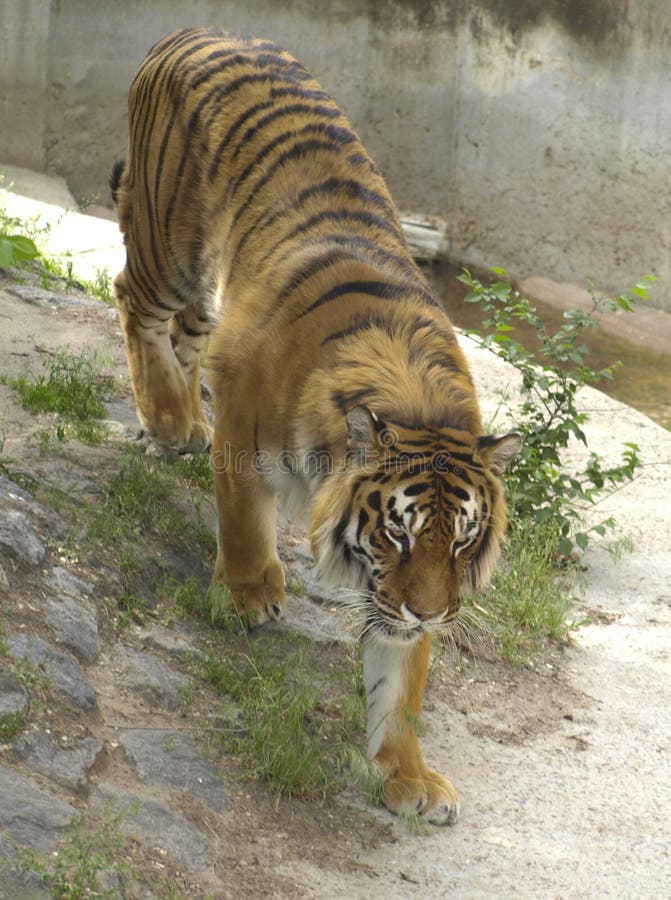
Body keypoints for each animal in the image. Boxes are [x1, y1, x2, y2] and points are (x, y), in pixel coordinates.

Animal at [111, 26, 521, 826]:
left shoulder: (401, 600)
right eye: (396, 532)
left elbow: (400, 682)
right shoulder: (244, 426)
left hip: (208, 295)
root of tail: (194, 31)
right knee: (132, 300)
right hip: (168, 244)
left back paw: (183, 416)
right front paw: (249, 594)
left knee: (181, 333)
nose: (430, 613)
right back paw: (170, 417)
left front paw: (406, 776)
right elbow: (244, 517)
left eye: (461, 540)